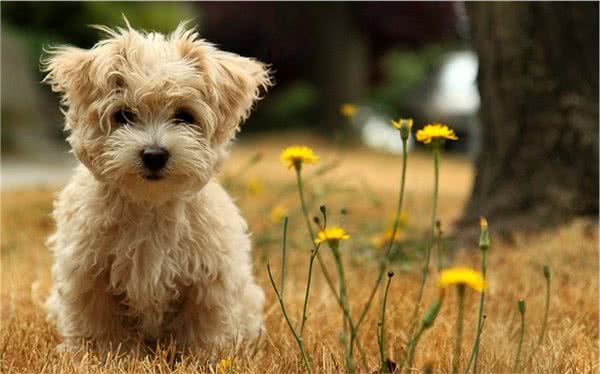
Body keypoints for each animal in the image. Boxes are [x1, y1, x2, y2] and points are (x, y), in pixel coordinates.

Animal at [39, 20, 270, 354]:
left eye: (185, 116)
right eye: (123, 115)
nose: (154, 154)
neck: (150, 204)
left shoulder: (210, 276)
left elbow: (204, 323)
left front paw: (202, 356)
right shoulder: (86, 271)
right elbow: (96, 319)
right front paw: (99, 353)